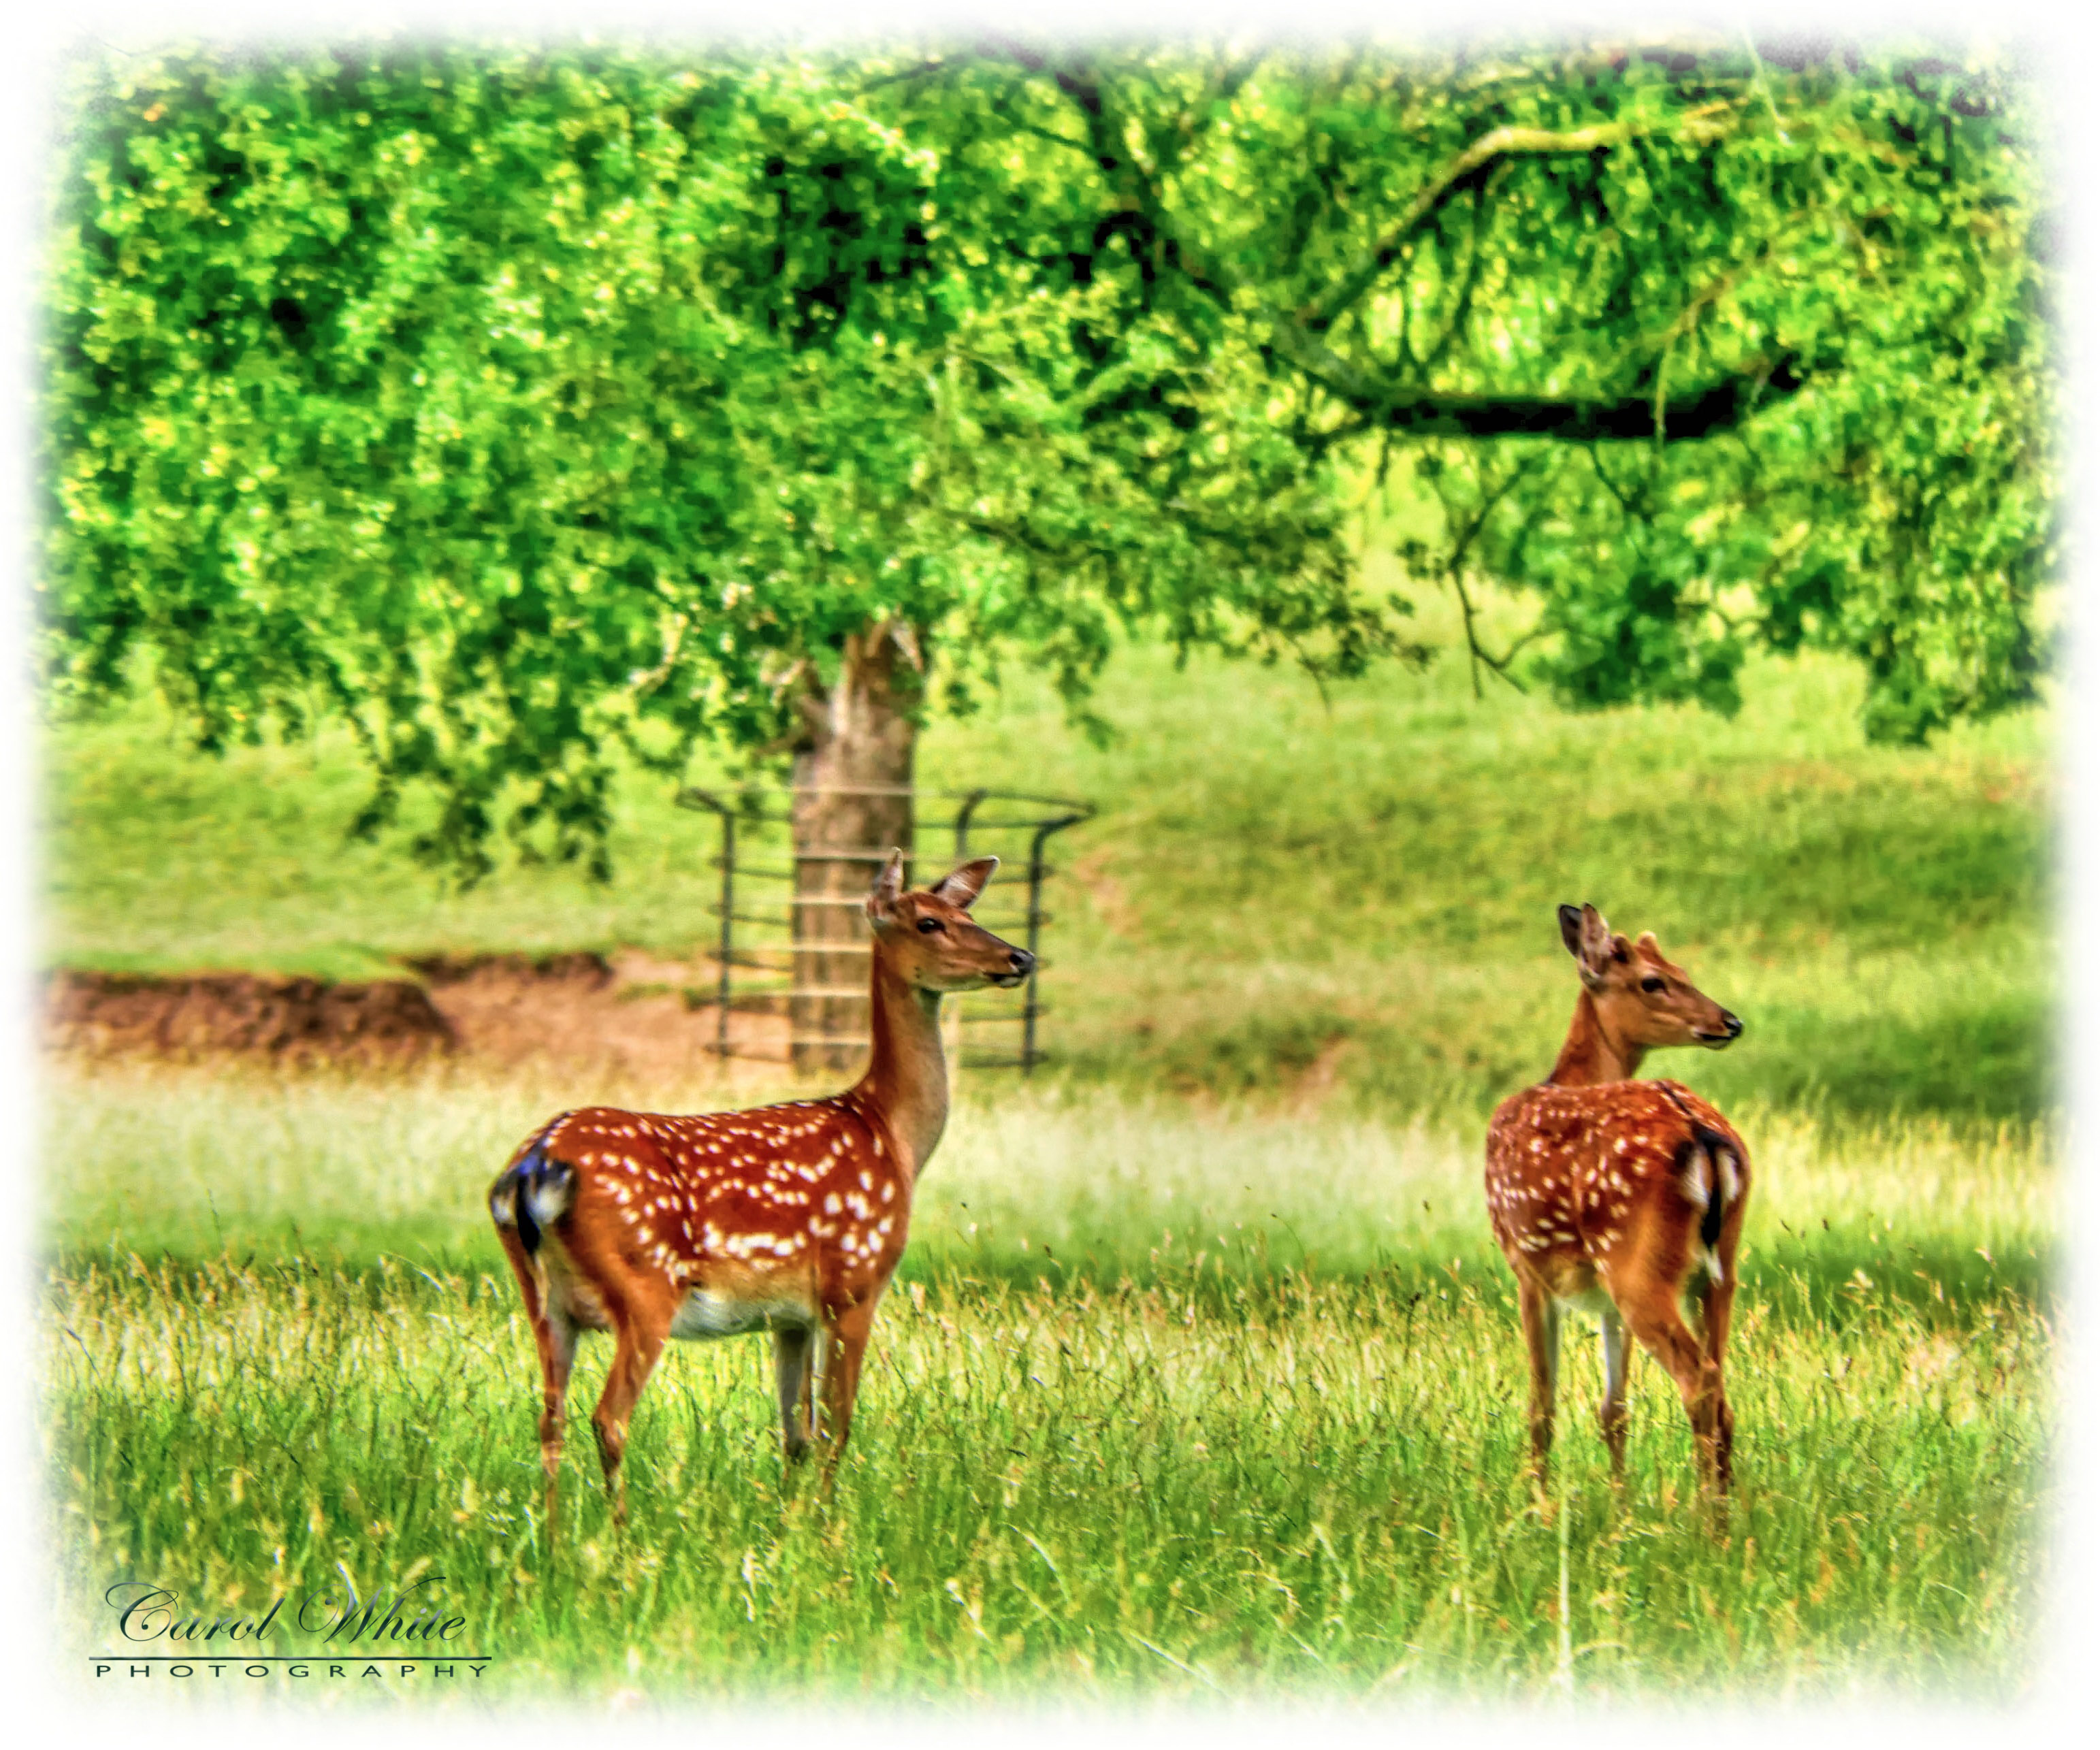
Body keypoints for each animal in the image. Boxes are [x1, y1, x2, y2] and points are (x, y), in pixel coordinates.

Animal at [488, 851, 1031, 1533]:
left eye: (970, 913)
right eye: (930, 922)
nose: (1019, 957)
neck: (890, 1133)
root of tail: (533, 1168)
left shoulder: (788, 1315)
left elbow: (794, 1434)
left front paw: (791, 1526)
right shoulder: (853, 1282)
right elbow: (835, 1429)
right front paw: (828, 1530)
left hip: (543, 1299)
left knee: (550, 1419)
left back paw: (556, 1539)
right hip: (643, 1284)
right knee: (607, 1417)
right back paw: (620, 1538)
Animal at [1485, 903, 1750, 1493]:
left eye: (1681, 971)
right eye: (1655, 979)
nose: (1729, 1021)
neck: (1565, 1078)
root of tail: (1704, 1136)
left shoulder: (1526, 1268)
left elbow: (1541, 1409)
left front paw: (1536, 1504)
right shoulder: (1602, 1296)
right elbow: (1614, 1410)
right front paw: (1618, 1505)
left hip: (1637, 1265)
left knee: (1700, 1384)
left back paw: (1706, 1517)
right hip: (1716, 1270)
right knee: (1723, 1392)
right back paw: (1735, 1513)